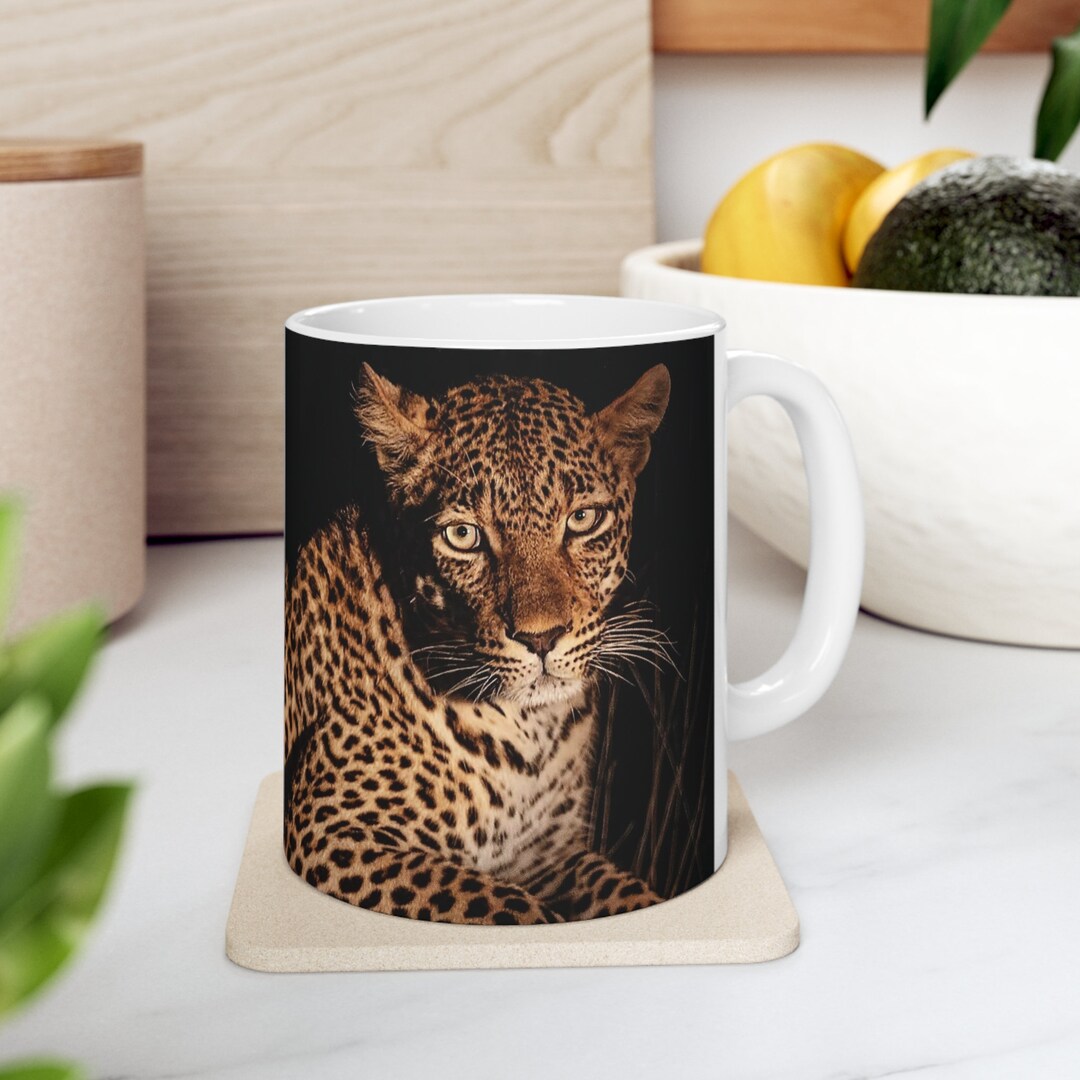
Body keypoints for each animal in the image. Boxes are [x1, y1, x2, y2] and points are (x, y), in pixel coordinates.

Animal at [284, 360, 673, 924]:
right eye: (463, 536)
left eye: (583, 520)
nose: (541, 637)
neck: (532, 736)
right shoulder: (330, 831)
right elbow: (507, 907)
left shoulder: (548, 857)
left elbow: (626, 896)